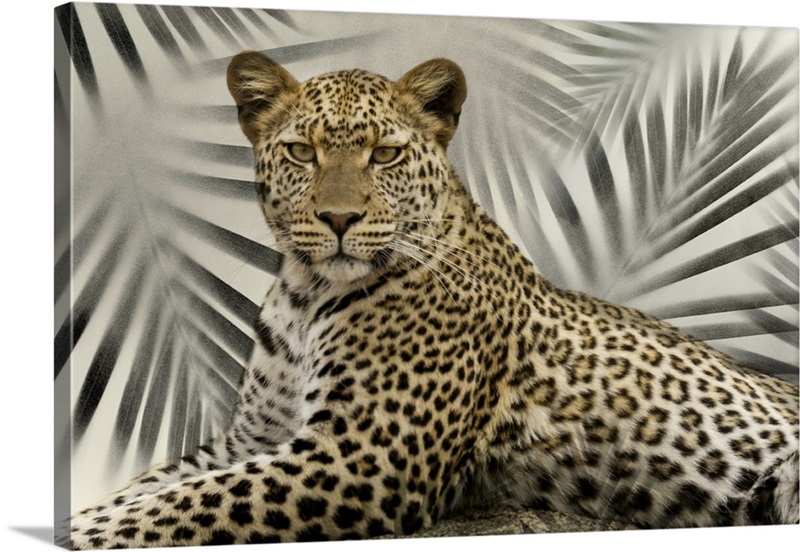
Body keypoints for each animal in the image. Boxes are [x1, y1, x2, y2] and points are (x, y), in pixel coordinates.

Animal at [68, 51, 799, 549]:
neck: (305, 295)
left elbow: (174, 507)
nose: (339, 219)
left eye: (385, 155)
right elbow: (150, 489)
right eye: (301, 152)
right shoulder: (253, 436)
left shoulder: (361, 456)